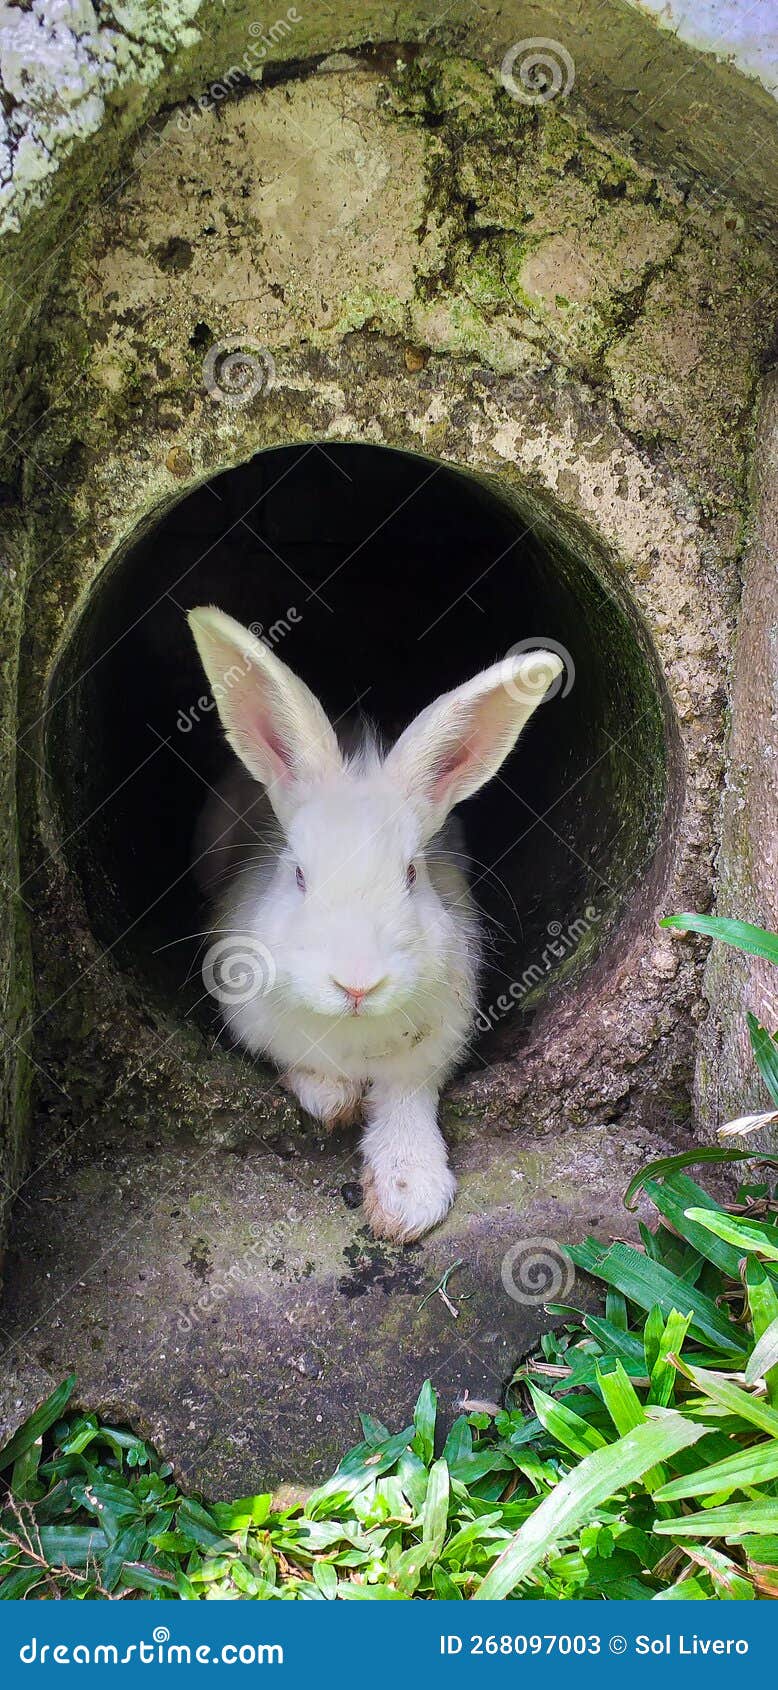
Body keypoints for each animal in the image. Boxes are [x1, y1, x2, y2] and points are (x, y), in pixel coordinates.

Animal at [187, 606, 563, 1243]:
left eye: (412, 873)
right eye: (298, 874)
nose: (358, 984)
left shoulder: (431, 1048)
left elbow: (407, 1096)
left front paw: (407, 1199)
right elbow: (308, 1070)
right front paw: (332, 1099)